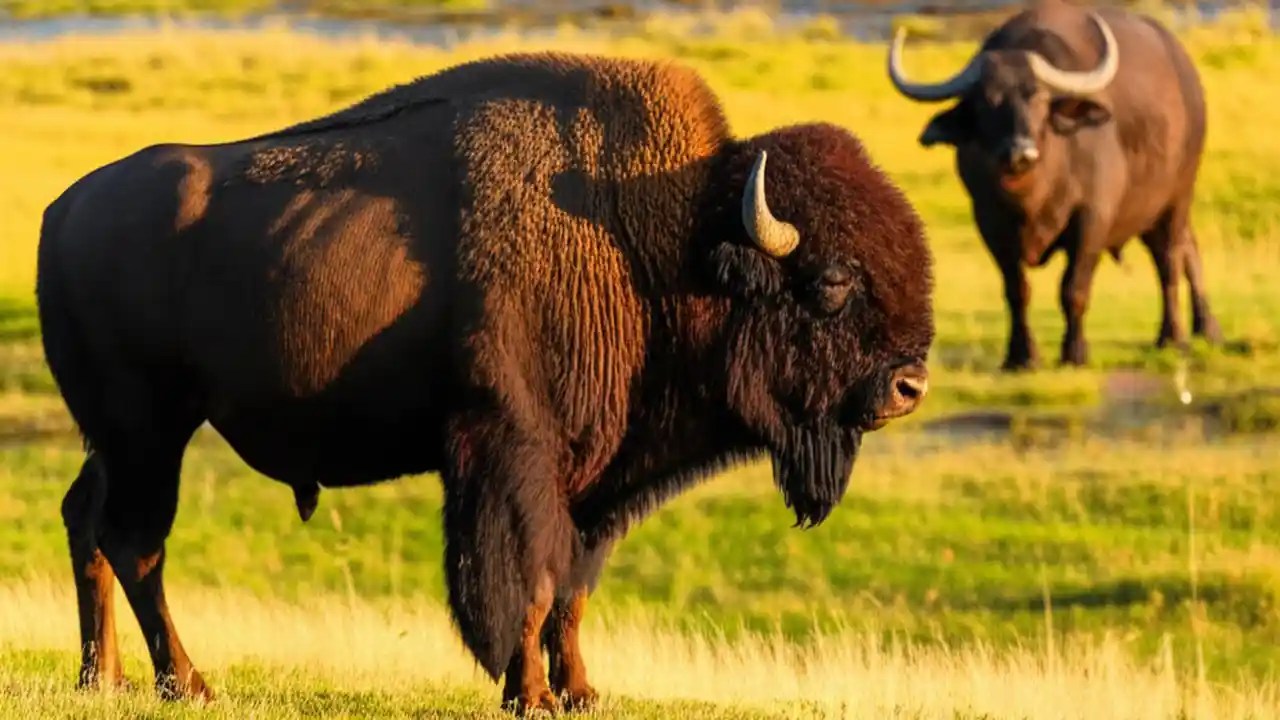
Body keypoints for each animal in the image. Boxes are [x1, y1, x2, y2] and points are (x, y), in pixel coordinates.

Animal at [37, 52, 934, 713]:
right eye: (830, 282)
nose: (908, 386)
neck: (658, 242)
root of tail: (62, 211)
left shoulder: (596, 480)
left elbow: (573, 589)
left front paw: (582, 692)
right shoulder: (513, 454)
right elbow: (528, 586)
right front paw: (529, 694)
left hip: (118, 438)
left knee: (87, 521)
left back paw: (102, 678)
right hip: (151, 431)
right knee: (136, 543)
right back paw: (185, 683)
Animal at [888, 0, 1222, 368]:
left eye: (1038, 98)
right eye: (986, 102)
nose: (1020, 152)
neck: (1033, 194)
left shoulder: (1092, 218)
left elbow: (1073, 287)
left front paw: (1075, 352)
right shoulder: (989, 223)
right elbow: (1016, 290)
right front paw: (1021, 356)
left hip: (1178, 196)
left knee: (1169, 261)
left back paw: (1172, 337)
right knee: (1188, 248)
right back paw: (1207, 328)